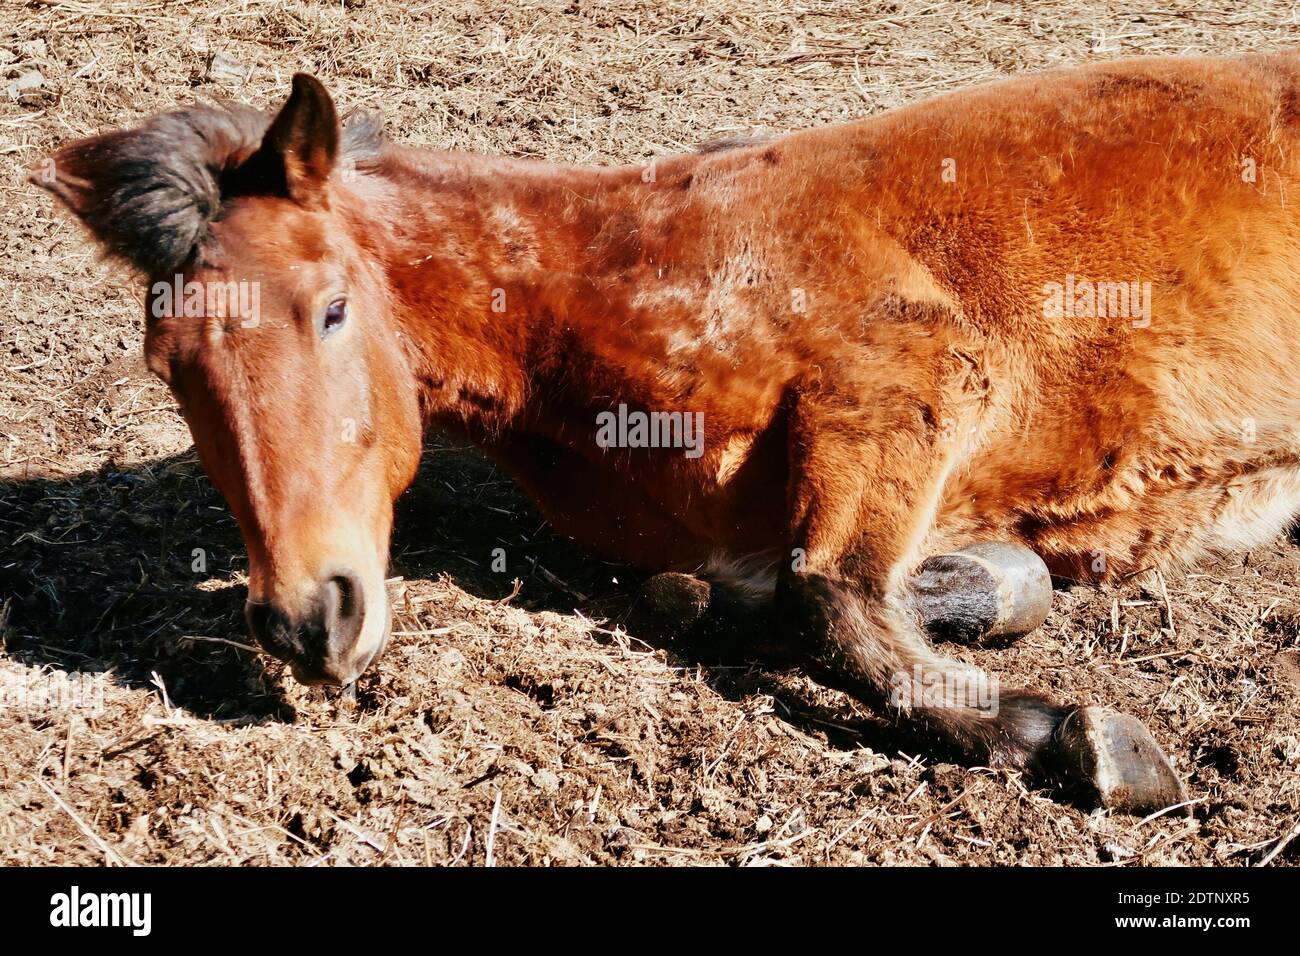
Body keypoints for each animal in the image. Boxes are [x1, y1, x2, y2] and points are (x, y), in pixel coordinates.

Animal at [35, 50, 1300, 813]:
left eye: (334, 309)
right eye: (170, 369)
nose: (308, 618)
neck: (597, 284)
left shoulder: (917, 380)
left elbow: (830, 597)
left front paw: (1087, 739)